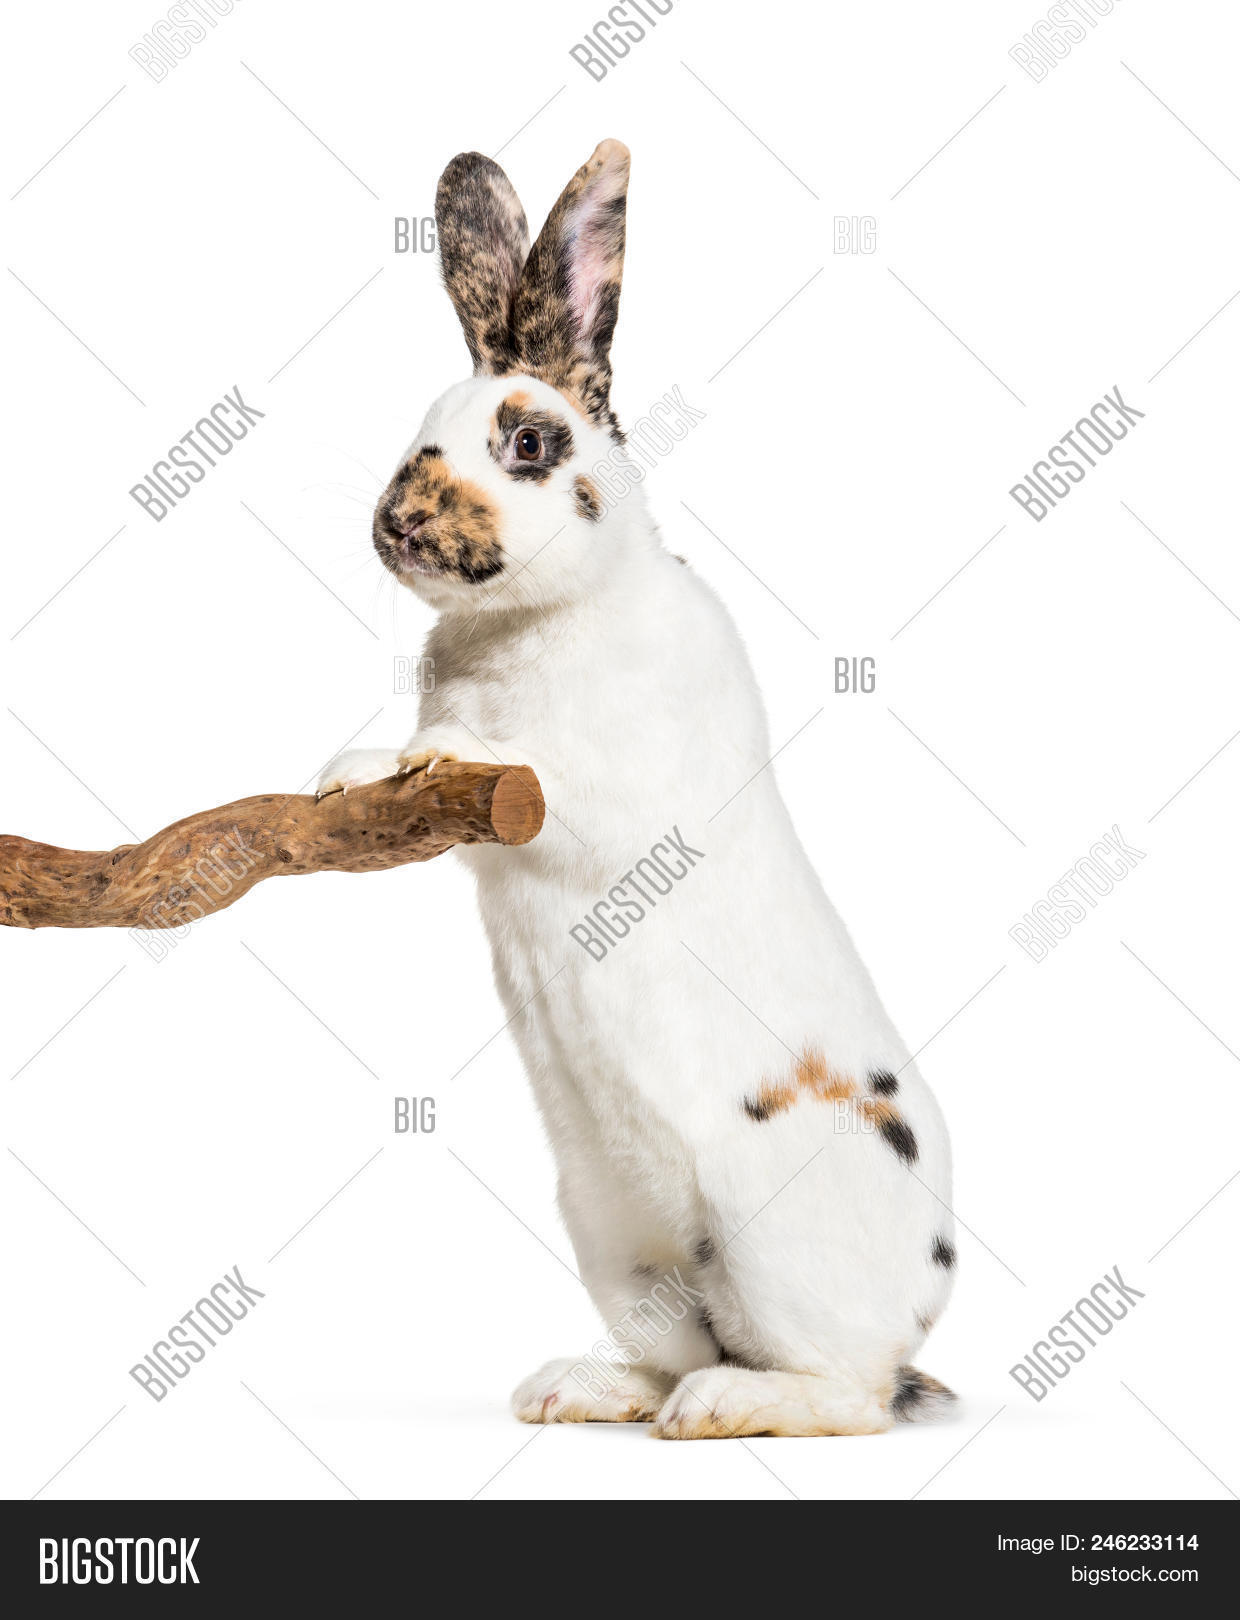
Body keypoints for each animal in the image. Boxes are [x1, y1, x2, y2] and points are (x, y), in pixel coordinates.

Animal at [318, 140, 957, 1437]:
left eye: (528, 443)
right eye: (421, 429)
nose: (399, 525)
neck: (535, 619)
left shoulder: (605, 787)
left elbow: (507, 759)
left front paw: (408, 755)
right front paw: (353, 766)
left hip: (773, 1245)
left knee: (847, 1395)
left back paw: (719, 1408)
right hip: (614, 1239)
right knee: (672, 1342)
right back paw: (575, 1388)